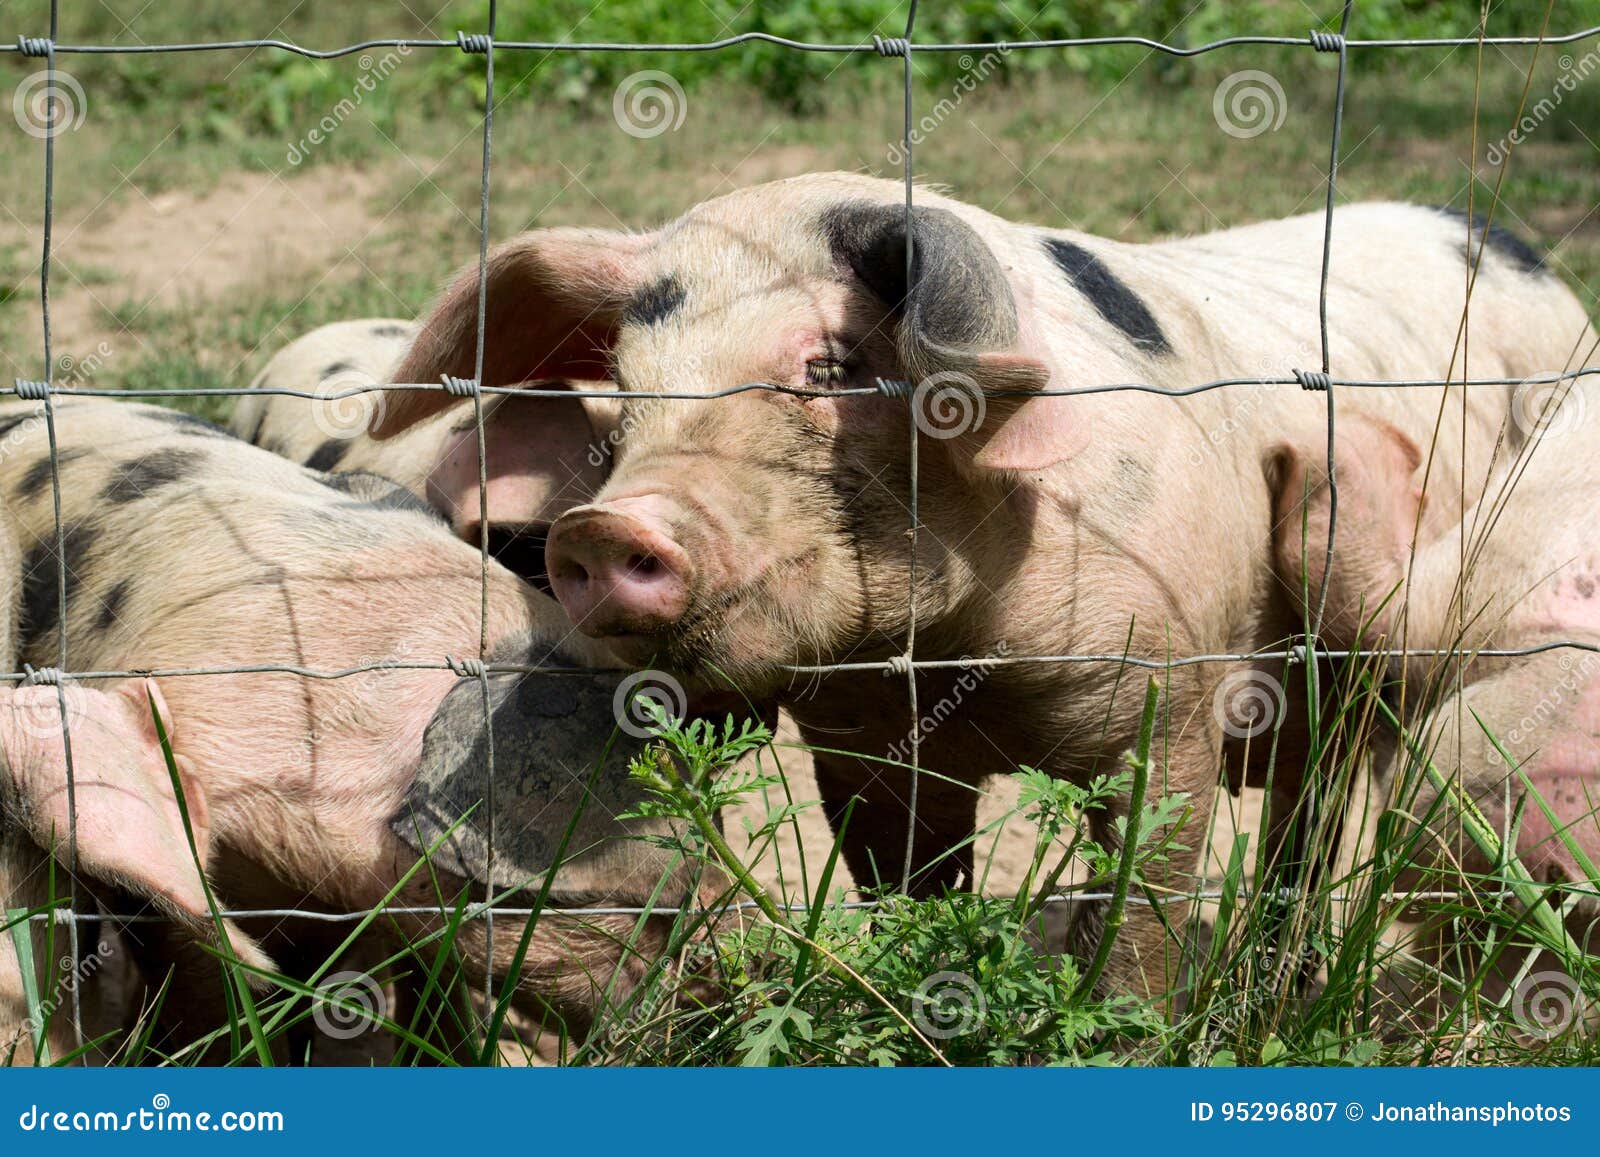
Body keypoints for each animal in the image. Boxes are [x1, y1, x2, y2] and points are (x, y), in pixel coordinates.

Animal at [370, 173, 1595, 995]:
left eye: (829, 367)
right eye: (624, 395)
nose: (597, 528)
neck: (965, 643)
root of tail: (1504, 239)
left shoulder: (1171, 687)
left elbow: (1142, 896)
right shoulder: (867, 739)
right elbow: (905, 881)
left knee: (1324, 811)